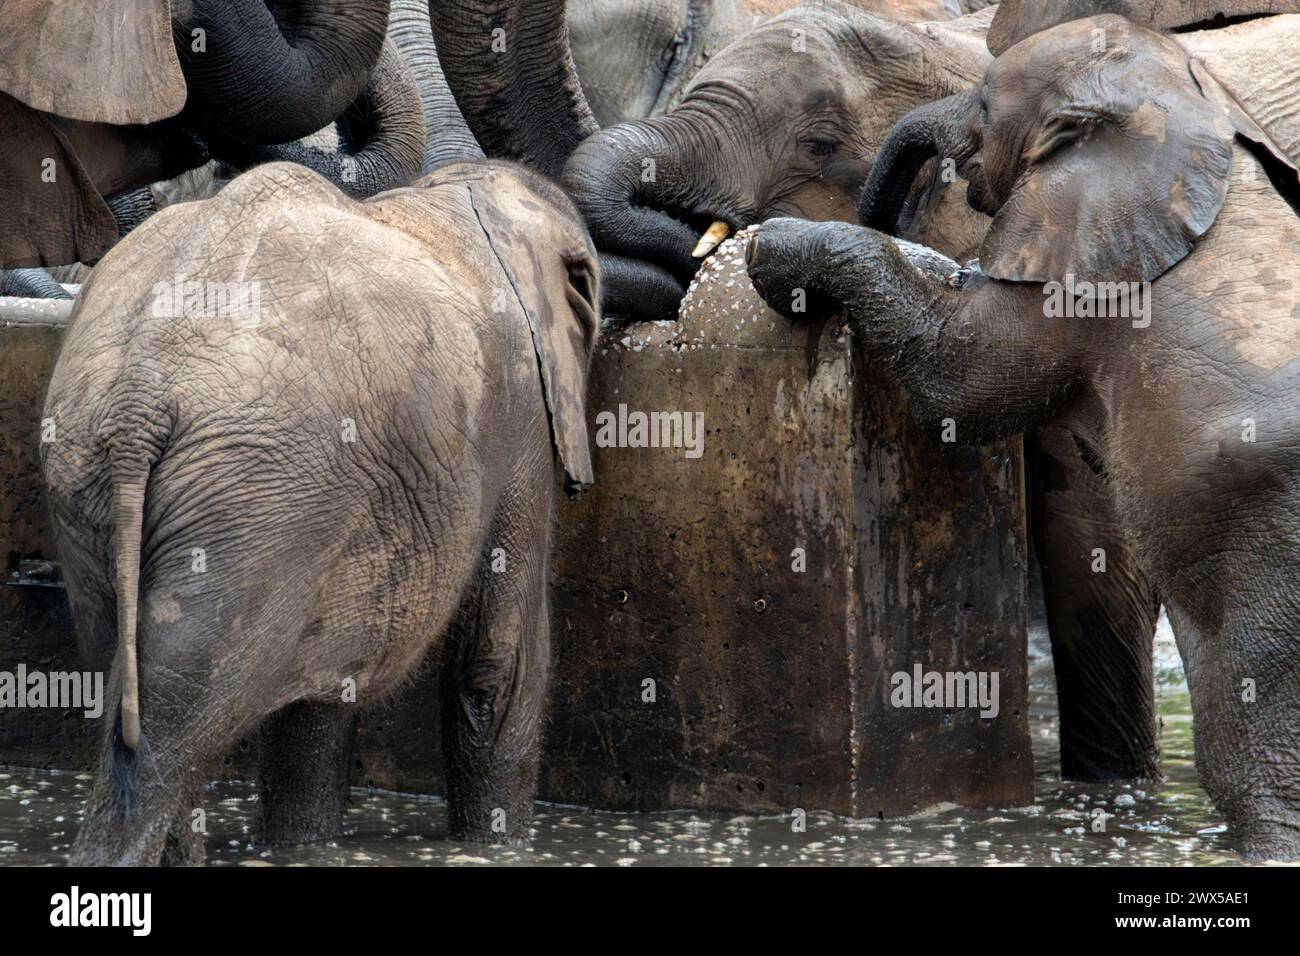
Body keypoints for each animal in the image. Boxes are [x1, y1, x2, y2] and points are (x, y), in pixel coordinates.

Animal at [41, 150, 600, 865]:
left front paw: (302, 846)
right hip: (251, 500)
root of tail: (142, 391)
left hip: (91, 477)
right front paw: (497, 846)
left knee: (124, 674)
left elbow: (322, 690)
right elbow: (496, 662)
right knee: (170, 714)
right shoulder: (524, 406)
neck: (458, 192)